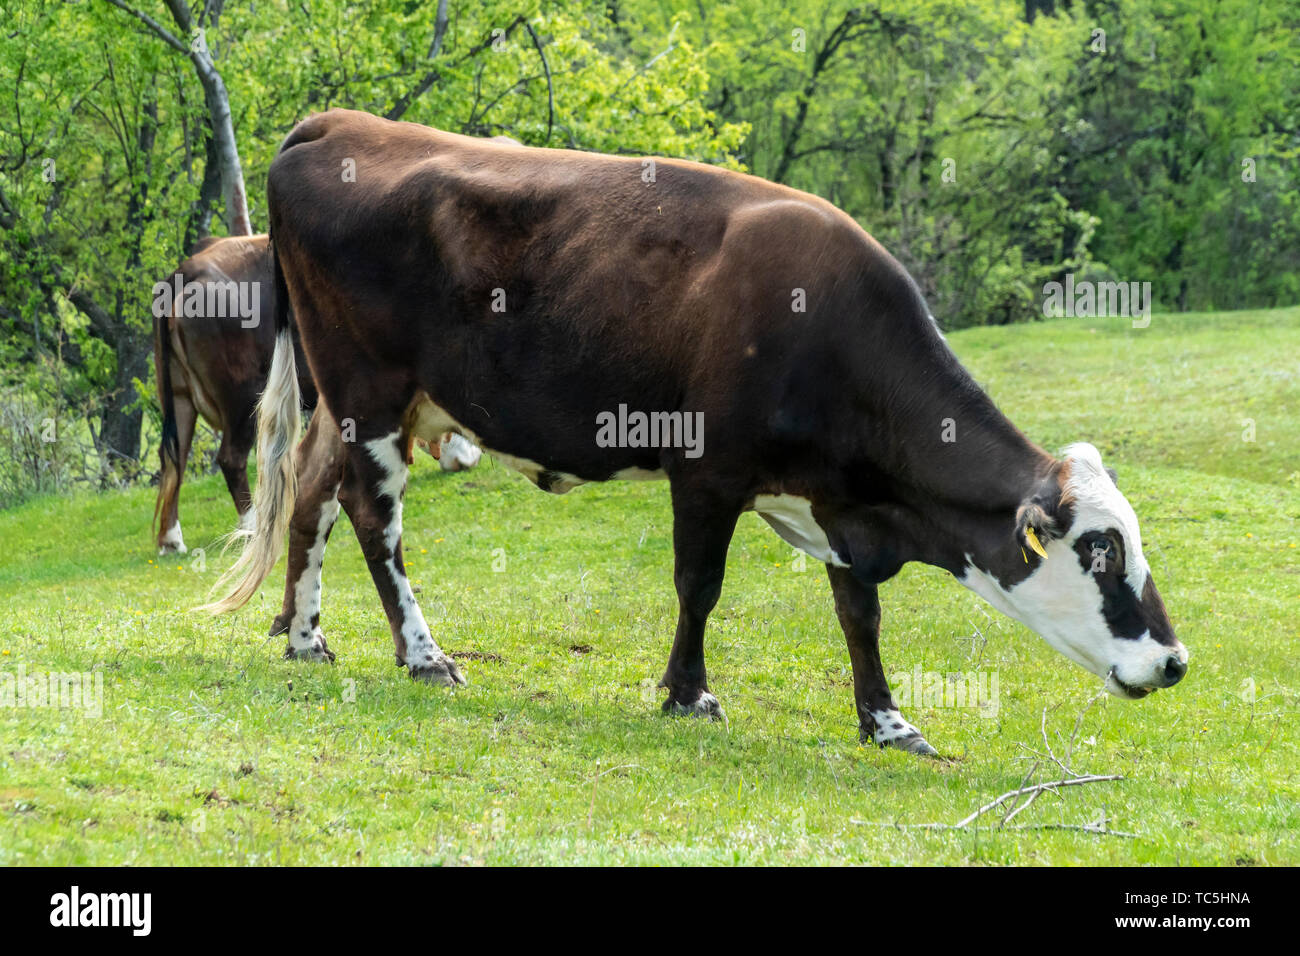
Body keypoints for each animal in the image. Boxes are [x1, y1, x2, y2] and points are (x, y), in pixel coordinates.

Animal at [152, 234, 479, 555]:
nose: (468, 460)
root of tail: (189, 269)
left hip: (179, 399)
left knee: (172, 461)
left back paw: (171, 539)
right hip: (242, 396)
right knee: (230, 459)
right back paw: (250, 526)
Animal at [205, 108, 1187, 756]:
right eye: (1100, 552)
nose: (1174, 663)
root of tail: (338, 123)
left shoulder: (835, 498)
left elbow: (859, 613)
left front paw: (887, 720)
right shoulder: (709, 472)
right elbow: (699, 586)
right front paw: (689, 694)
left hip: (354, 401)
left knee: (310, 495)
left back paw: (304, 635)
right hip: (372, 391)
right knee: (375, 520)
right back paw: (423, 655)